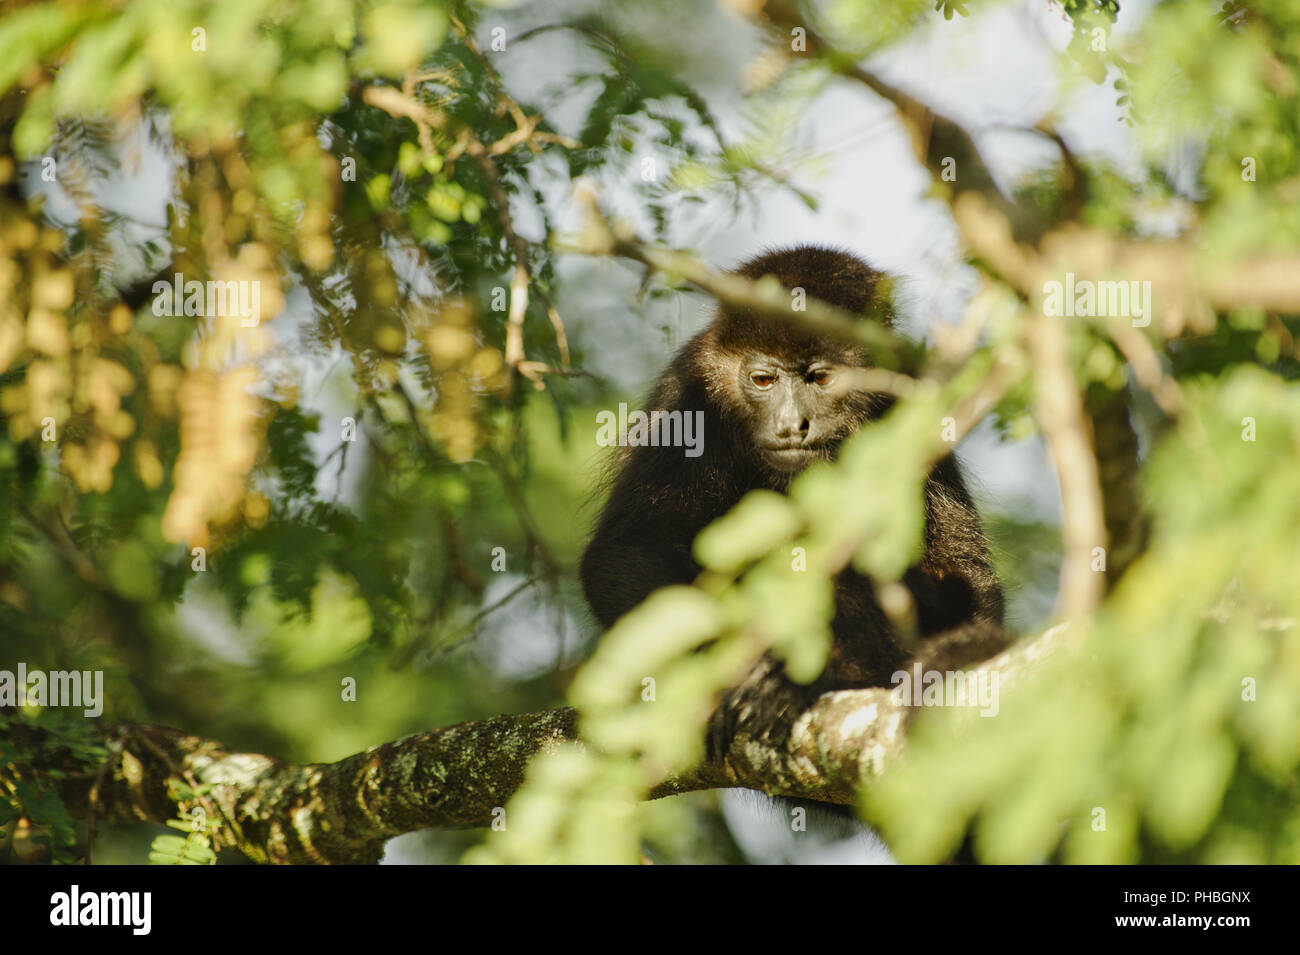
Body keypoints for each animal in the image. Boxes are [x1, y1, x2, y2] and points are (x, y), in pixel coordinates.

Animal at [580, 245, 1009, 772]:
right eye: (763, 380)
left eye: (820, 378)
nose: (790, 426)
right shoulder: (684, 395)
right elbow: (628, 547)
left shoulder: (911, 404)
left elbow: (967, 575)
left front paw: (805, 679)